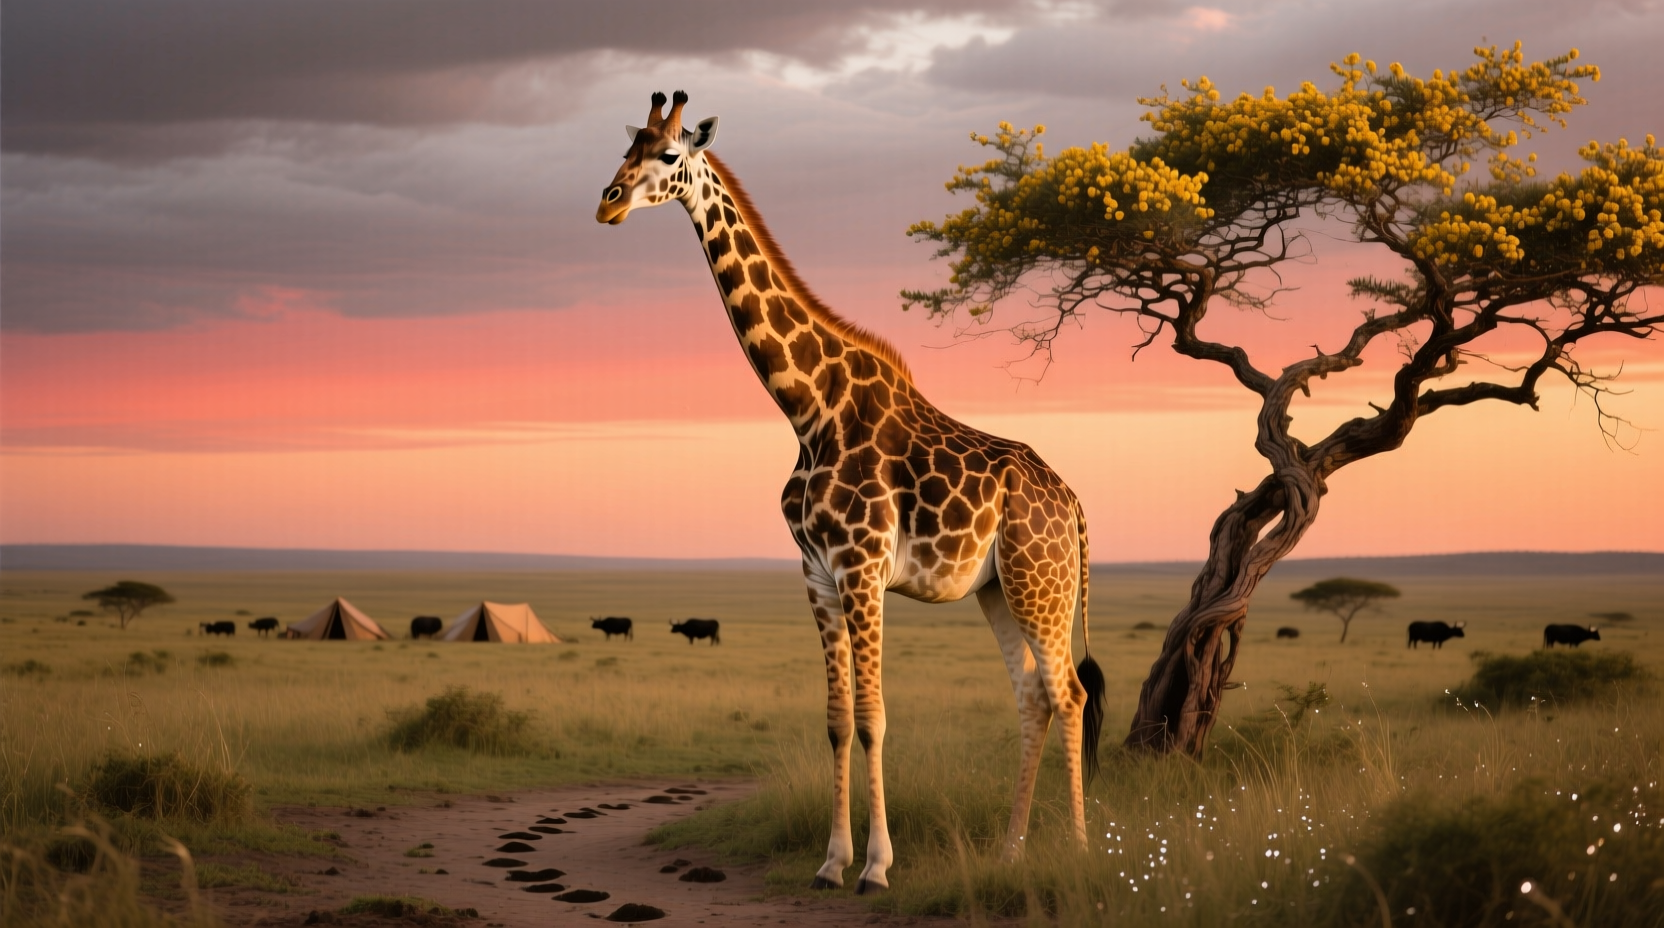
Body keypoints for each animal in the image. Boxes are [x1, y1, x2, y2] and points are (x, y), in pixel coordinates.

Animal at [596, 91, 1106, 893]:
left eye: (670, 155)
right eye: (627, 148)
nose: (608, 203)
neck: (809, 408)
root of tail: (1076, 506)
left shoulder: (863, 568)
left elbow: (874, 718)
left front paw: (876, 866)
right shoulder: (816, 573)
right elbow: (837, 721)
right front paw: (831, 862)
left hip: (1040, 584)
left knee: (1070, 693)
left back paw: (1077, 850)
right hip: (998, 589)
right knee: (1031, 697)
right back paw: (1010, 849)